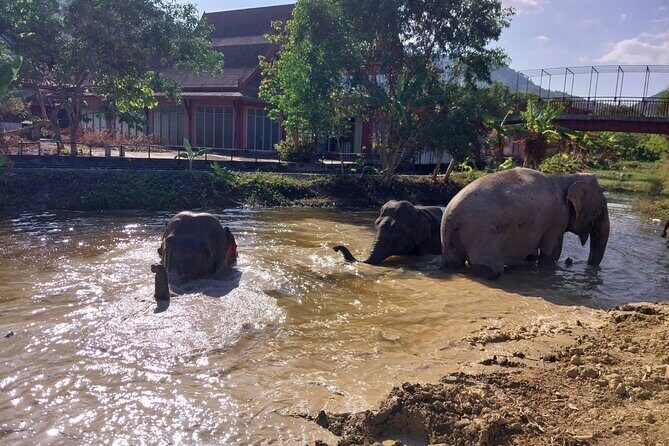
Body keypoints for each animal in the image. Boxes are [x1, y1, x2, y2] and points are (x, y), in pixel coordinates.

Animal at [441, 168, 610, 280]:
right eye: (601, 210)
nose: (571, 261)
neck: (567, 177)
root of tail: (451, 215)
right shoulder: (558, 218)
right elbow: (551, 252)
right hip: (482, 235)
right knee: (490, 269)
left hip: (454, 239)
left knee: (454, 262)